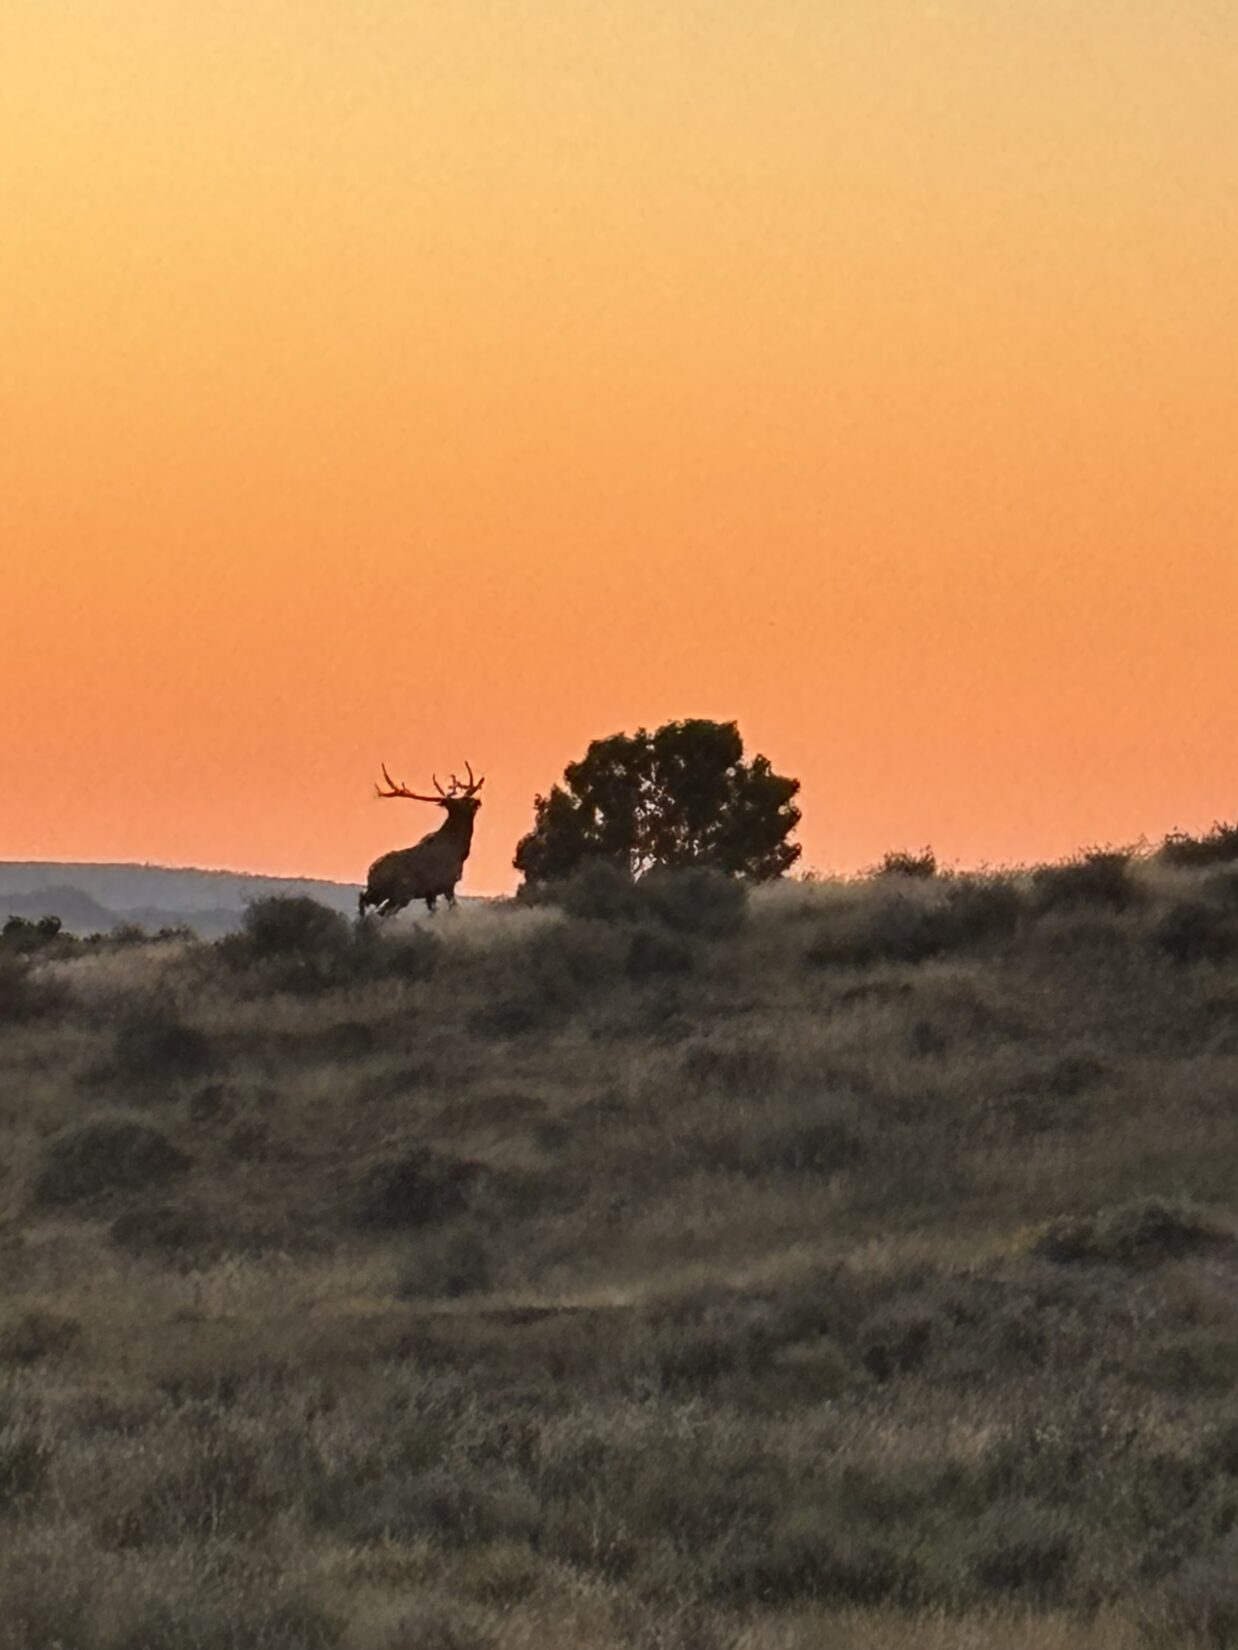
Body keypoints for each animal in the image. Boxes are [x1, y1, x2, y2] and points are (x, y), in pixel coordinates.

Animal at [359, 761, 484, 917]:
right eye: (458, 803)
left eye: (467, 797)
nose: (477, 801)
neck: (459, 852)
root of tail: (371, 874)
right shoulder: (447, 884)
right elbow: (453, 908)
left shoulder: (431, 892)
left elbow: (434, 912)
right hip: (401, 893)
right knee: (376, 907)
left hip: (385, 894)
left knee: (368, 901)